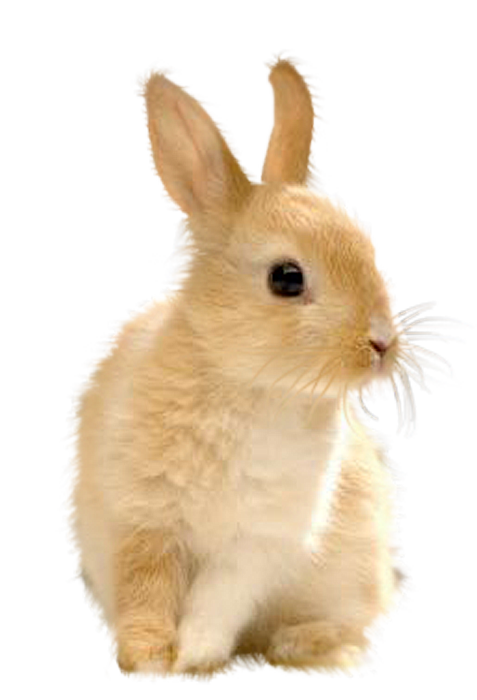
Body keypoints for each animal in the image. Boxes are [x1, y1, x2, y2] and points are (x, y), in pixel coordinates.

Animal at [65, 54, 416, 683]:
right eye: (286, 279)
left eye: (367, 247)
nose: (383, 344)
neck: (251, 387)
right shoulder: (145, 525)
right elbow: (146, 595)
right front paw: (151, 661)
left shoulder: (254, 548)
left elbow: (215, 606)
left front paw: (194, 658)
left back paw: (319, 649)